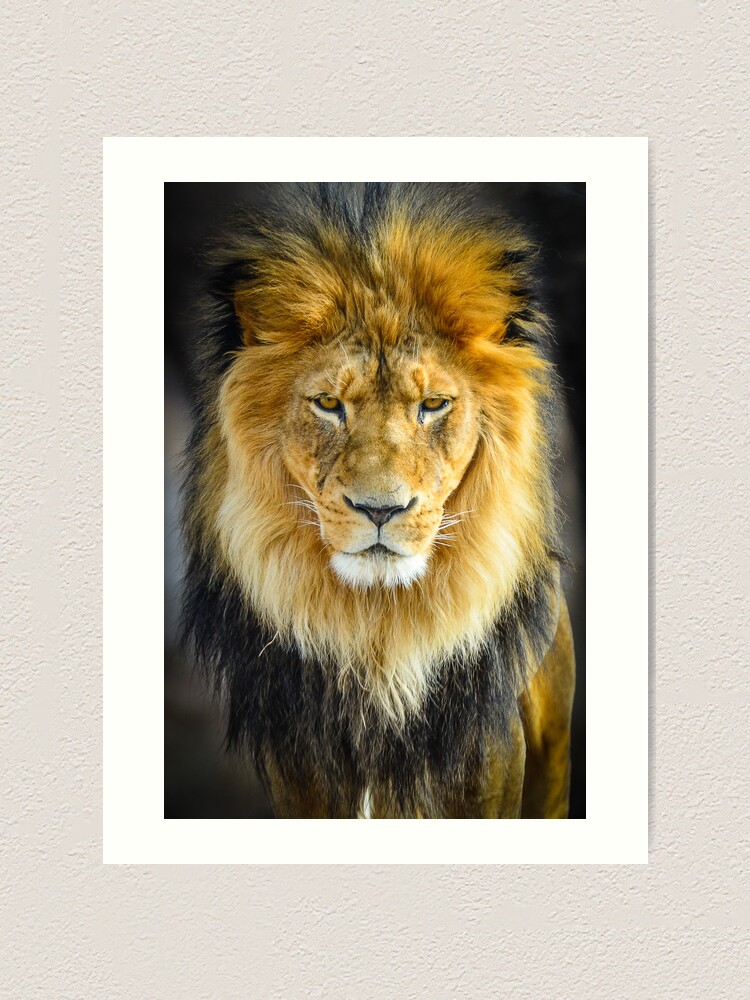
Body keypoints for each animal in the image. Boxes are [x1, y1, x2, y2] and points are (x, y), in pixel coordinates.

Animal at [181, 183, 576, 819]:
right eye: (328, 404)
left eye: (434, 404)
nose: (380, 510)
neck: (379, 632)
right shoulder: (301, 774)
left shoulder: (489, 762)